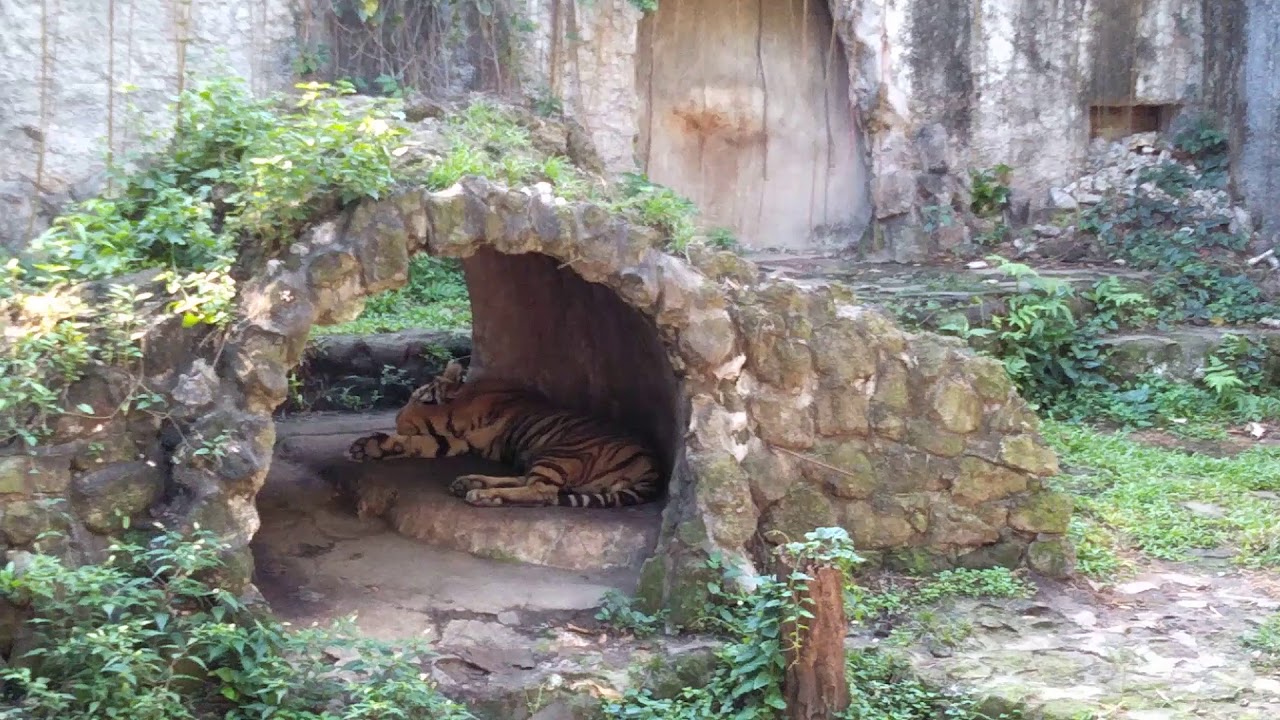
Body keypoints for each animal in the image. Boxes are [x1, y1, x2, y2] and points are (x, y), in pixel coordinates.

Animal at [345, 360, 662, 509]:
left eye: (423, 400)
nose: (396, 419)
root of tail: (653, 469)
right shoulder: (459, 440)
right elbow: (421, 443)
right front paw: (370, 447)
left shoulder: (463, 437)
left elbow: (424, 441)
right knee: (528, 481)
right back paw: (471, 482)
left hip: (562, 452)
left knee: (542, 491)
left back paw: (483, 495)